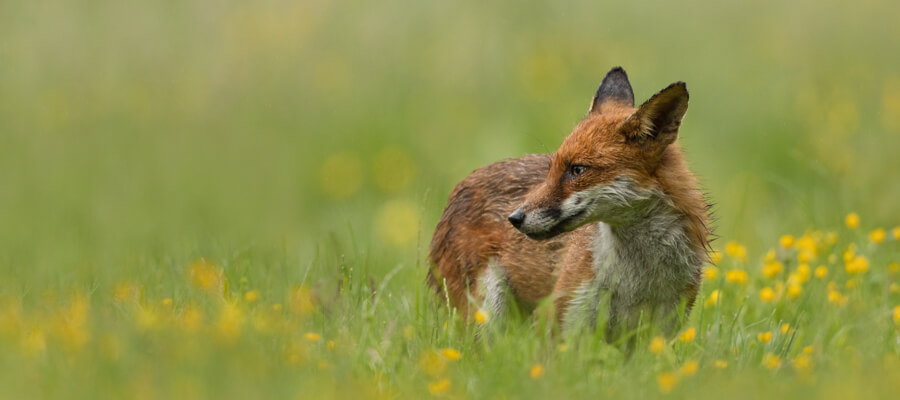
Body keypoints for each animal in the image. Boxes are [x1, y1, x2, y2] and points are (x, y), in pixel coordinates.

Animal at [428, 67, 711, 344]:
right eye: (552, 168)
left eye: (577, 170)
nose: (515, 218)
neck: (637, 280)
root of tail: (461, 186)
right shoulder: (559, 321)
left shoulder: (659, 333)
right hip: (485, 317)